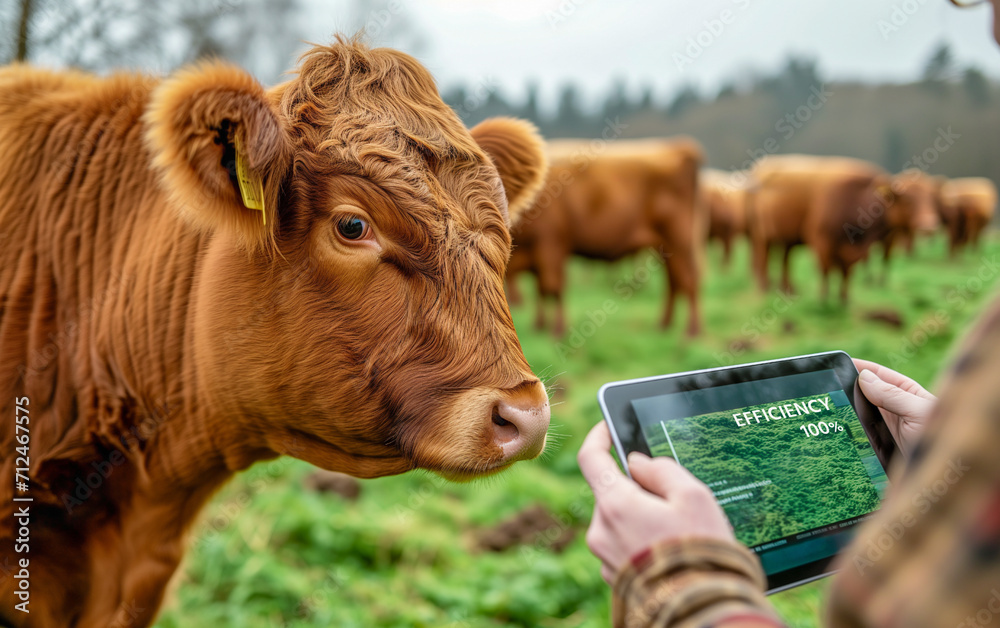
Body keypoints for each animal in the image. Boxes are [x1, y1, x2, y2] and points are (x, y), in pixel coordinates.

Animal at [507, 137, 705, 337]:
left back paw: (692, 330)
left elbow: (553, 288)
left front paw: (558, 329)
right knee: (674, 282)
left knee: (689, 281)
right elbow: (541, 290)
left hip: (680, 242)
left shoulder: (552, 246)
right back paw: (664, 325)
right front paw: (539, 325)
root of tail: (679, 147)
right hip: (666, 247)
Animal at [747, 154, 907, 303]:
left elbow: (846, 272)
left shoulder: (851, 251)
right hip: (762, 235)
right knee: (763, 257)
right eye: (907, 201)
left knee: (784, 260)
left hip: (786, 239)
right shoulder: (821, 240)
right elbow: (825, 269)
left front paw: (844, 299)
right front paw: (823, 299)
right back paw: (764, 288)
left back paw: (786, 289)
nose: (918, 222)